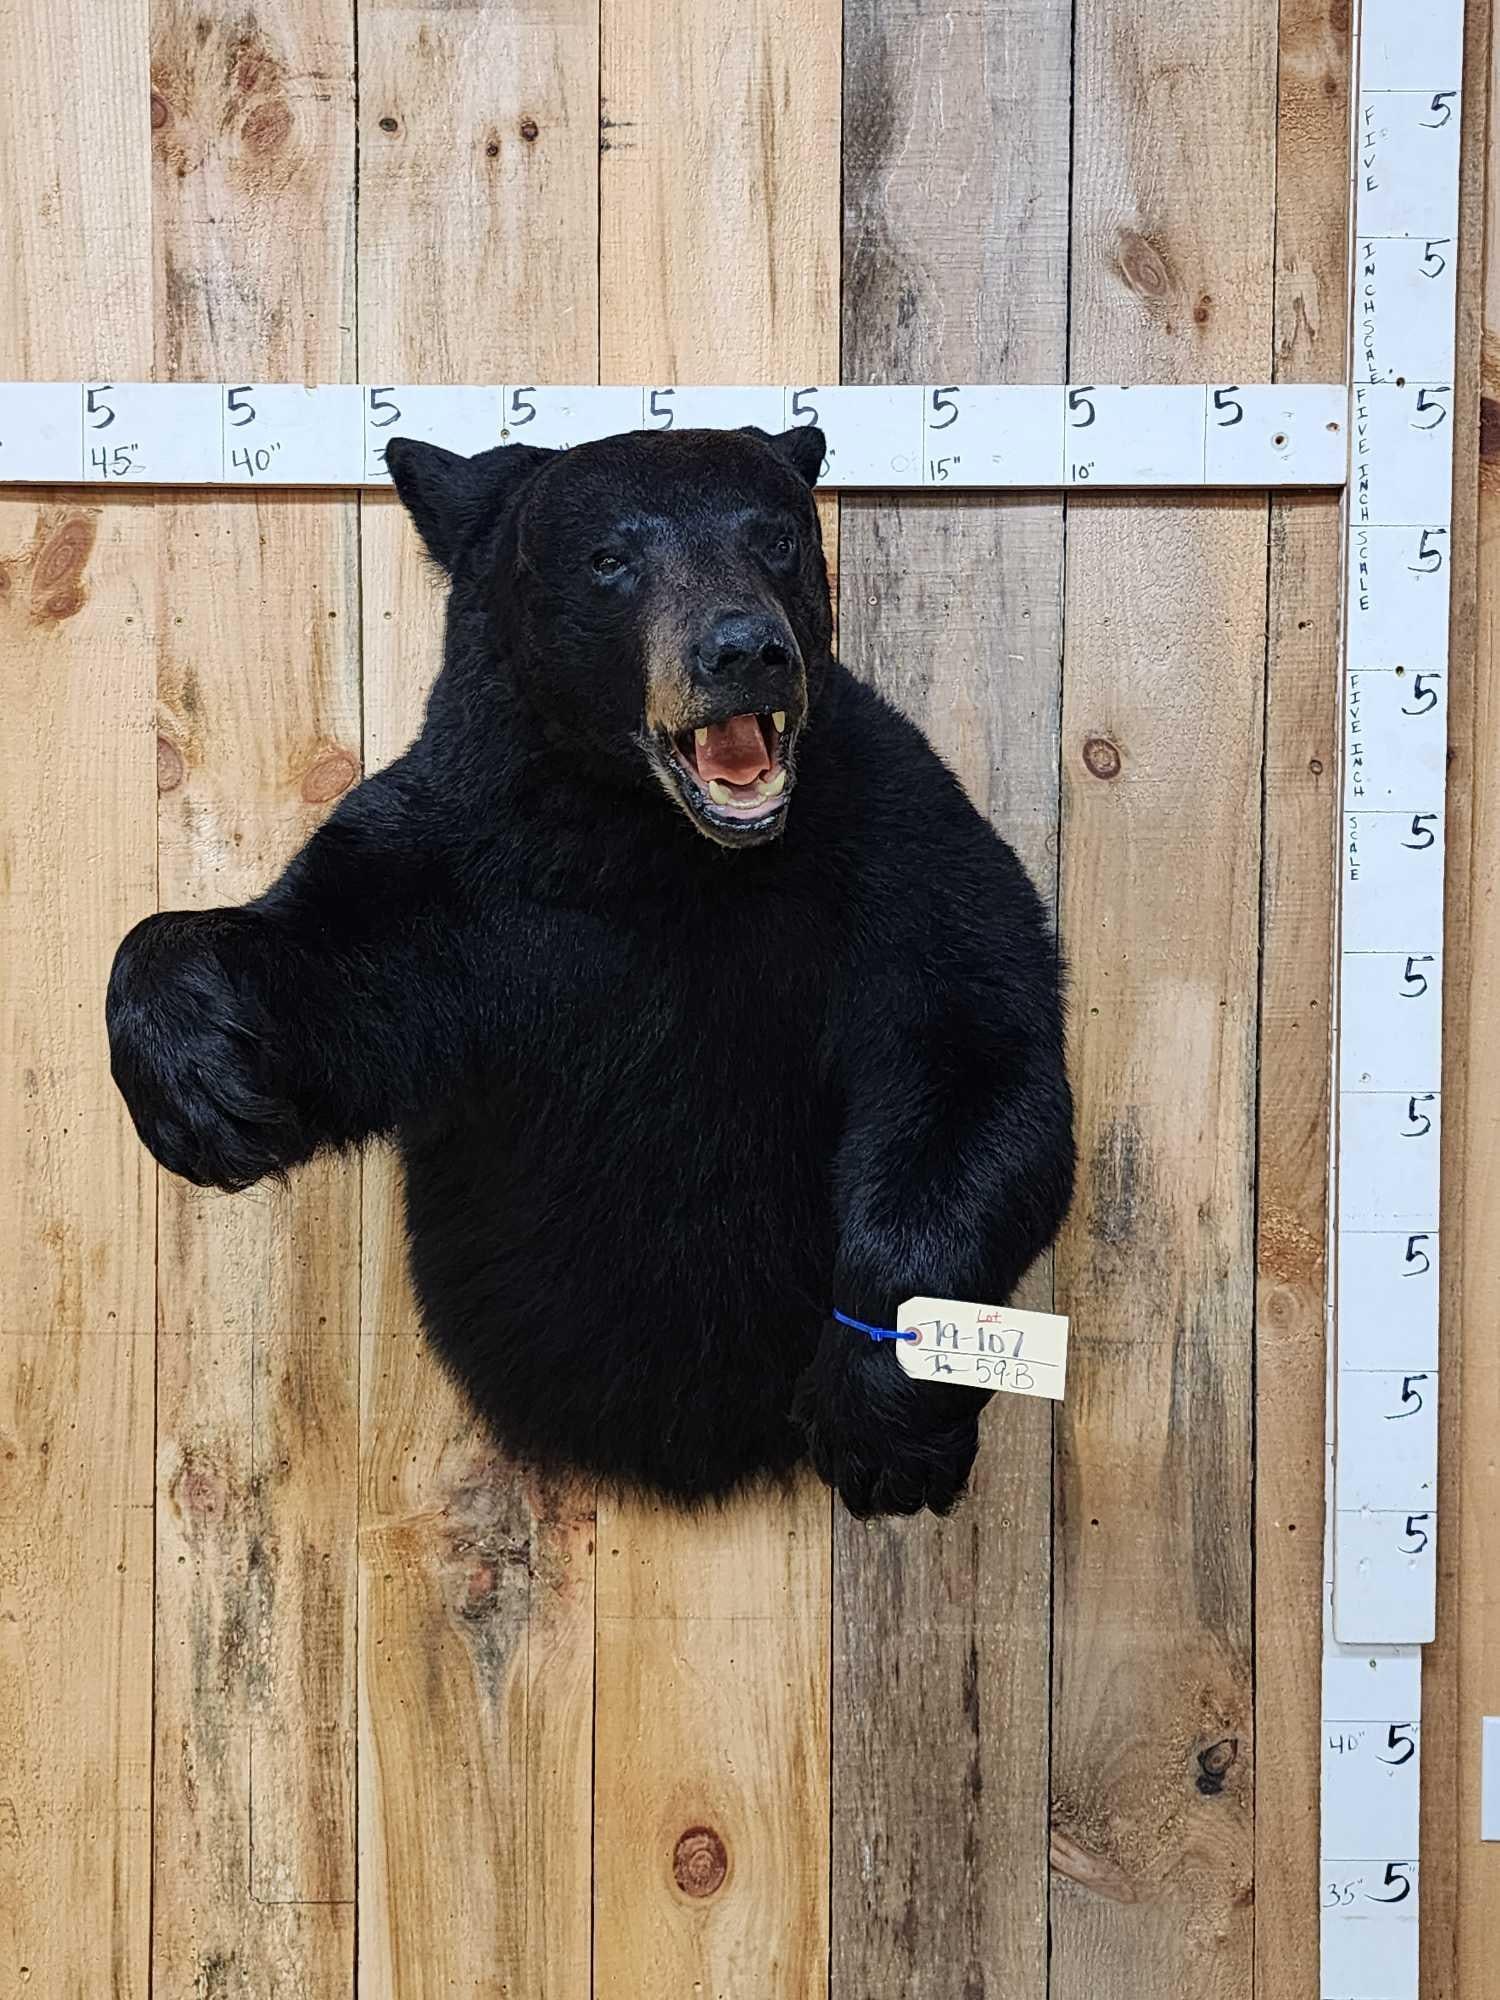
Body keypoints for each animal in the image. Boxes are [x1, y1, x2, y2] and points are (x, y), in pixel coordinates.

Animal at [106, 421, 1074, 1518]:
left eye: (777, 536)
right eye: (612, 558)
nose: (743, 649)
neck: (655, 842)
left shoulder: (894, 847)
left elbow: (977, 1055)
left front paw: (882, 1414)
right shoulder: (464, 868)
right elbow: (326, 965)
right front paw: (199, 1083)